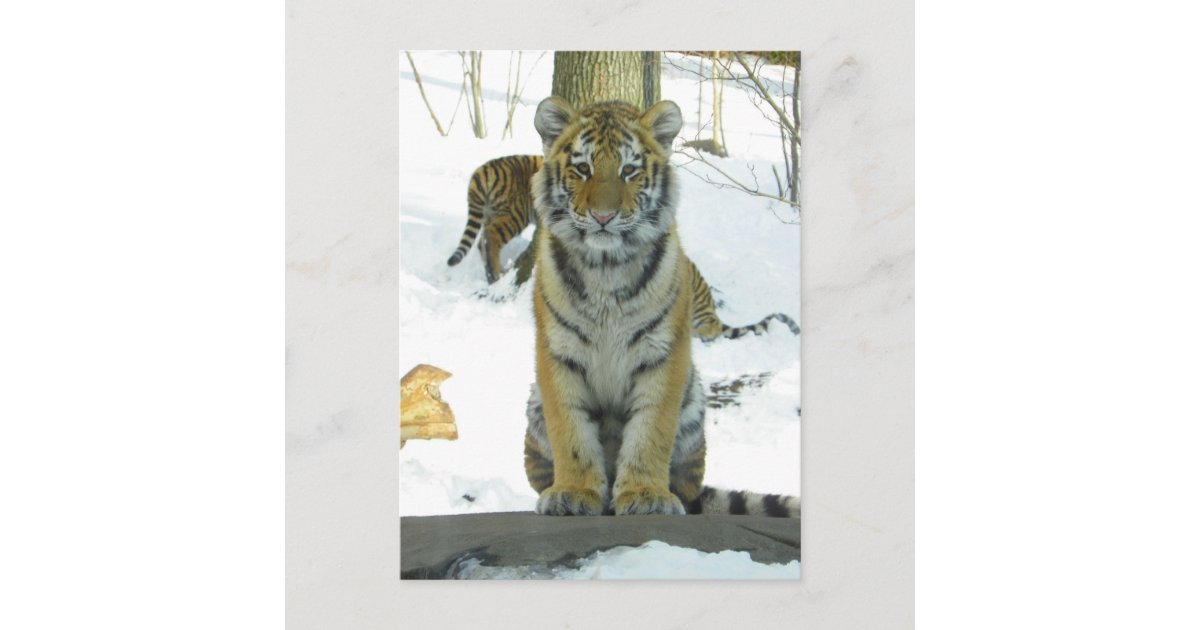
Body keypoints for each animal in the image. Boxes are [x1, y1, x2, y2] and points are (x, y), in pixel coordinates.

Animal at [522, 96, 800, 518]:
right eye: (583, 168)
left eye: (629, 170)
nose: (603, 217)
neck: (606, 267)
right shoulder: (557, 352)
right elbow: (570, 430)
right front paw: (573, 492)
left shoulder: (664, 352)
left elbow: (651, 430)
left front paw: (645, 495)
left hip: (694, 404)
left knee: (689, 489)